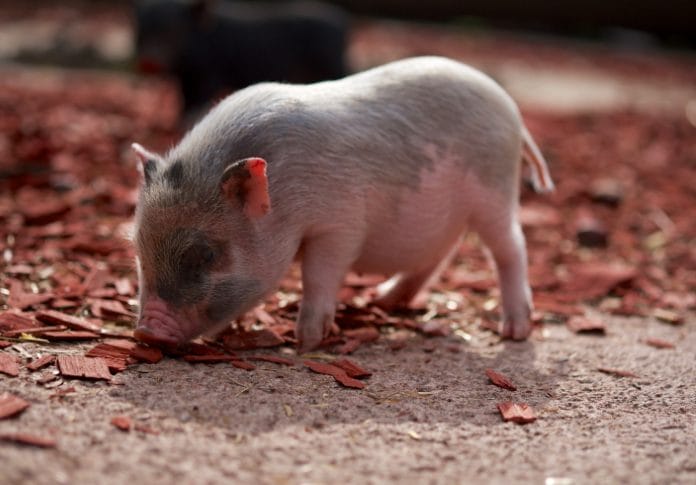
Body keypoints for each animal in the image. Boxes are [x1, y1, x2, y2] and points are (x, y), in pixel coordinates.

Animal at [131, 56, 554, 352]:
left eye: (206, 255)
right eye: (138, 250)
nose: (147, 332)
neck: (284, 192)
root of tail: (513, 111)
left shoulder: (338, 224)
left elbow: (319, 274)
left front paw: (306, 341)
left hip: (494, 191)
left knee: (511, 247)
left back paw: (515, 331)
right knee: (440, 254)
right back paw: (381, 299)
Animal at [134, 0, 349, 116]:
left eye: (173, 32)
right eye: (141, 31)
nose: (149, 61)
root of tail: (344, 23)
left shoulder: (209, 74)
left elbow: (197, 102)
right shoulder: (186, 79)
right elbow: (184, 101)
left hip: (332, 64)